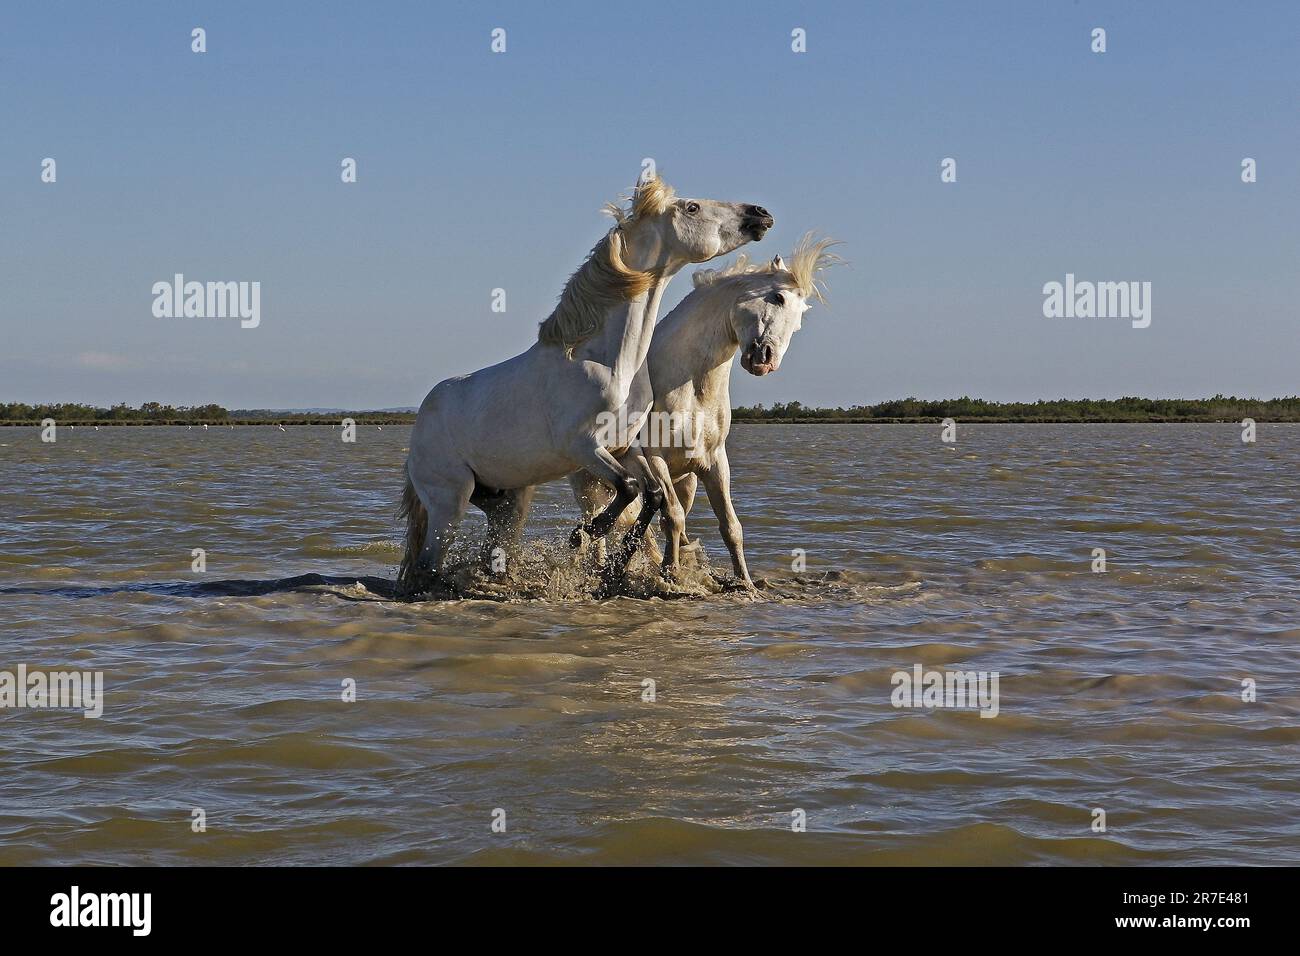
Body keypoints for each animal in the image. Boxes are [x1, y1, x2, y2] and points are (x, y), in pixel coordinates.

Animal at [398, 175, 773, 592]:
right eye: (691, 207)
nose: (760, 214)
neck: (610, 361)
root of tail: (420, 425)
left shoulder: (624, 448)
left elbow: (652, 495)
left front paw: (613, 569)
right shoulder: (584, 447)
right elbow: (629, 489)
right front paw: (585, 534)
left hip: (507, 502)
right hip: (450, 499)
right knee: (427, 563)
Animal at [570, 234, 841, 588]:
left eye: (800, 317)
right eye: (777, 297)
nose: (766, 359)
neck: (692, 389)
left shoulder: (714, 463)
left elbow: (729, 525)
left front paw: (744, 583)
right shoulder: (653, 457)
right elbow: (672, 517)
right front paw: (670, 578)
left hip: (684, 481)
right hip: (590, 484)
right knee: (601, 528)